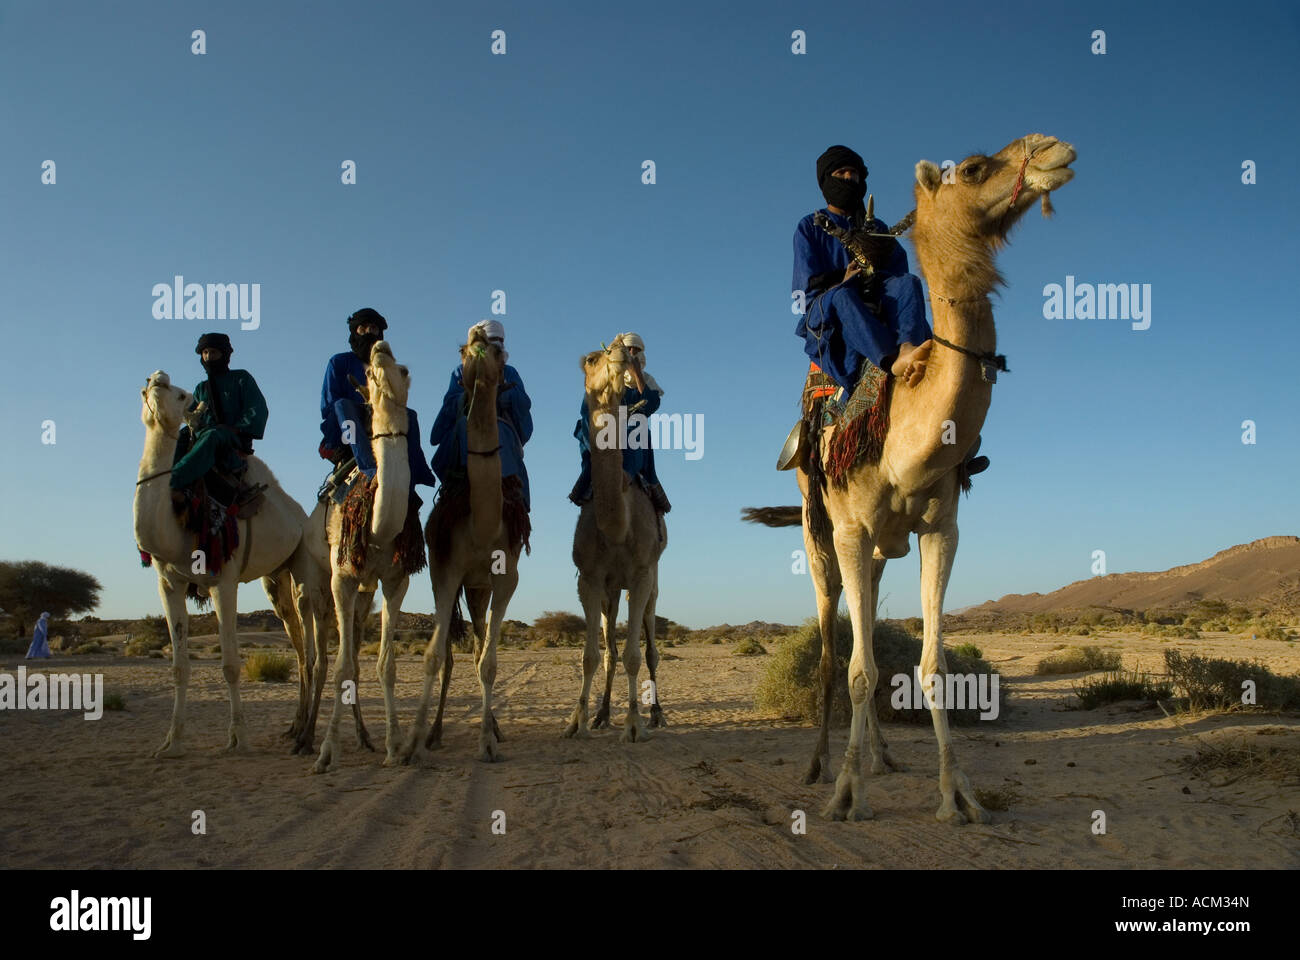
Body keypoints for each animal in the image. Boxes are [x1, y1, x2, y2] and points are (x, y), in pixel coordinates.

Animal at [134, 371, 318, 757]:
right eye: (145, 390)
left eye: (182, 395)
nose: (158, 378)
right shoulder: (168, 582)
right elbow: (179, 667)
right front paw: (171, 743)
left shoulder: (224, 580)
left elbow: (232, 665)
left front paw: (238, 738)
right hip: (274, 579)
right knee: (295, 644)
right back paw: (294, 727)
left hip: (301, 564)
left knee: (308, 644)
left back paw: (304, 733)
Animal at [312, 340, 422, 772]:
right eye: (371, 374)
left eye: (404, 370)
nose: (379, 346)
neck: (378, 529)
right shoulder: (341, 578)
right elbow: (341, 666)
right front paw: (326, 753)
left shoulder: (396, 581)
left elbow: (385, 665)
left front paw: (395, 746)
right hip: (322, 582)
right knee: (324, 659)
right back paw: (305, 739)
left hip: (365, 594)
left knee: (357, 657)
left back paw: (364, 738)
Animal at [402, 326, 525, 763]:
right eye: (464, 348)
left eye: (499, 350)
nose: (478, 338)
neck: (482, 526)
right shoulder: (445, 571)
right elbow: (434, 656)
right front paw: (412, 743)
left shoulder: (506, 579)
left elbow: (488, 663)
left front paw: (487, 742)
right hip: (461, 584)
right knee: (456, 654)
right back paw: (436, 732)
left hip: (478, 589)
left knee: (476, 647)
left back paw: (496, 728)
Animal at [564, 337, 668, 743]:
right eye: (593, 358)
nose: (620, 352)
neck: (615, 527)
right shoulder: (589, 579)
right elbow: (591, 656)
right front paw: (576, 721)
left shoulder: (641, 575)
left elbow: (635, 655)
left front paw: (635, 724)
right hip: (611, 590)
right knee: (609, 649)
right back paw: (603, 714)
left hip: (653, 581)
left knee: (651, 648)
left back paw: (656, 714)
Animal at [745, 134, 1076, 822]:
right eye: (973, 169)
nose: (1052, 149)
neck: (907, 442)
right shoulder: (850, 531)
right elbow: (857, 671)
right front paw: (847, 796)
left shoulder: (941, 528)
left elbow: (930, 669)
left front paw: (958, 795)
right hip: (820, 534)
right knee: (829, 652)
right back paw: (821, 766)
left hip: (879, 551)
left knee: (866, 625)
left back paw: (882, 758)